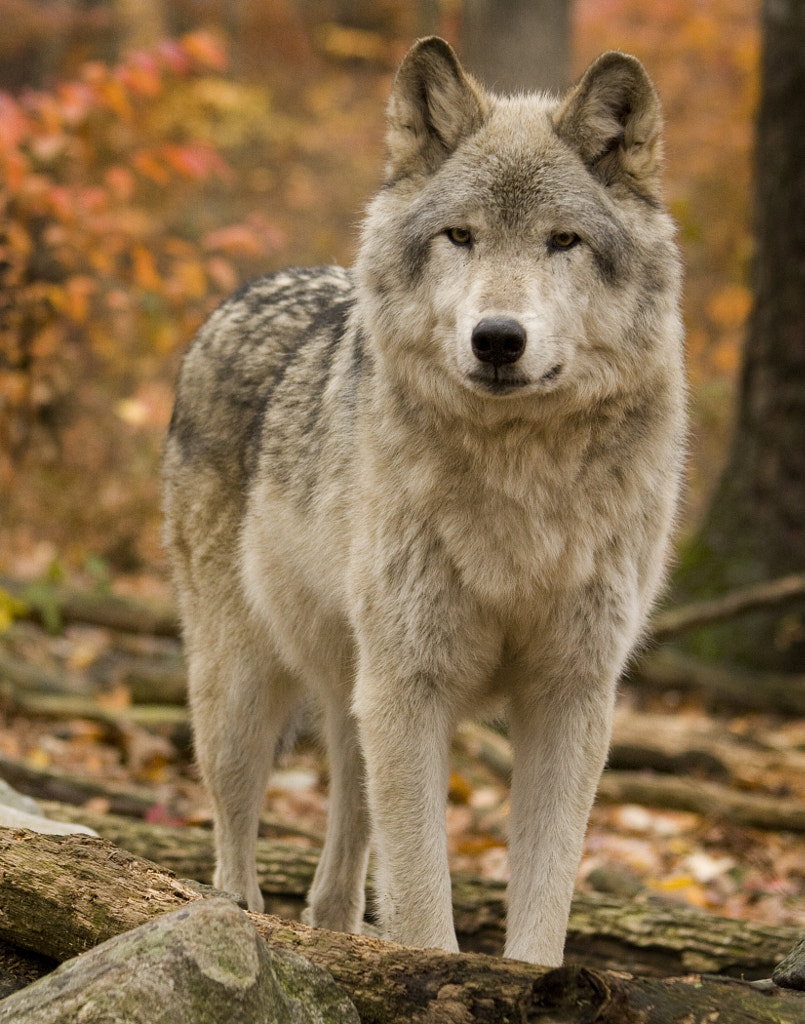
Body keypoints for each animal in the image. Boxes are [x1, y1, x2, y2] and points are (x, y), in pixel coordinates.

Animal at [163, 37, 685, 966]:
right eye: (460, 236)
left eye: (562, 241)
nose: (497, 340)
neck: (522, 487)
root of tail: (242, 294)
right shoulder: (412, 688)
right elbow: (420, 902)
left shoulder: (571, 695)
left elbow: (542, 903)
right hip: (246, 693)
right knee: (233, 839)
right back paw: (235, 921)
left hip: (355, 702)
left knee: (338, 871)